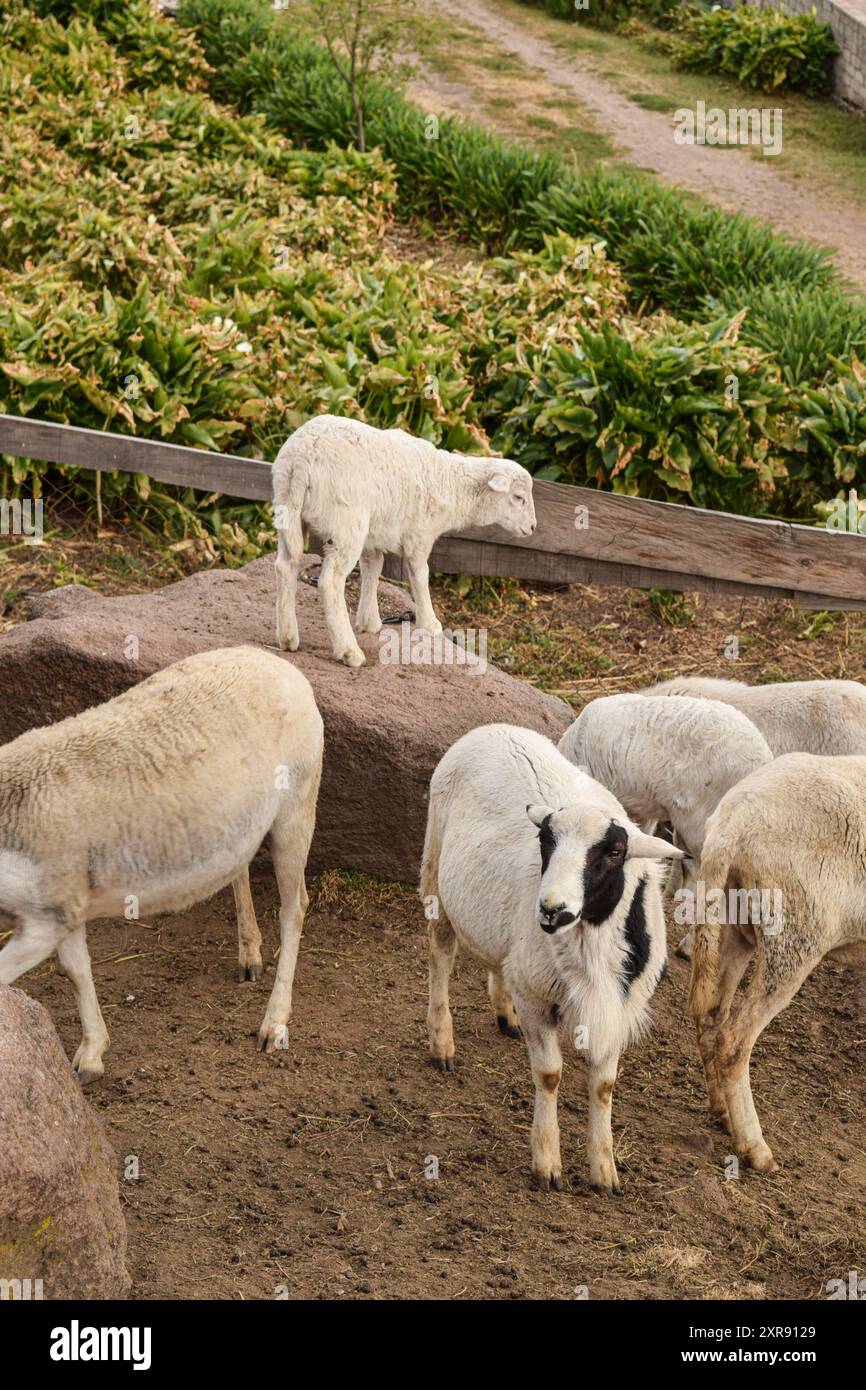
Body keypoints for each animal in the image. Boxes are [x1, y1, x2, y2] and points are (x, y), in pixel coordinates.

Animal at [0, 646, 323, 1082]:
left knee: (295, 908)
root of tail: (275, 661)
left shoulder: (47, 916)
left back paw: (273, 1025)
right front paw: (91, 1056)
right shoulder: (62, 906)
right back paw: (249, 955)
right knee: (240, 870)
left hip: (298, 804)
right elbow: (75, 970)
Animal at [272, 414, 536, 668]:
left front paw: (369, 621)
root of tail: (301, 458)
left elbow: (373, 567)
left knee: (285, 565)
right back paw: (349, 651)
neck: (451, 485)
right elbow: (420, 575)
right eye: (518, 497)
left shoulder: (375, 534)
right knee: (330, 581)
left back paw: (288, 638)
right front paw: (430, 623)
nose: (533, 527)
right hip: (346, 521)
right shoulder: (420, 535)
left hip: (287, 509)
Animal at [419, 723, 684, 1194]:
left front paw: (605, 1170)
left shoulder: (619, 1006)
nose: (550, 909)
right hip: (435, 871)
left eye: (614, 852)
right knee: (441, 956)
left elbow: (604, 1085)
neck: (591, 943)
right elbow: (549, 1075)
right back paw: (442, 1042)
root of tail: (493, 728)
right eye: (545, 840)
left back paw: (504, 1014)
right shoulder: (539, 997)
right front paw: (546, 1162)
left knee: (499, 961)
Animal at [688, 753, 866, 1173]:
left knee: (711, 1015)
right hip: (795, 935)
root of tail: (732, 824)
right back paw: (755, 1147)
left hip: (734, 922)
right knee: (735, 1039)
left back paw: (723, 1113)